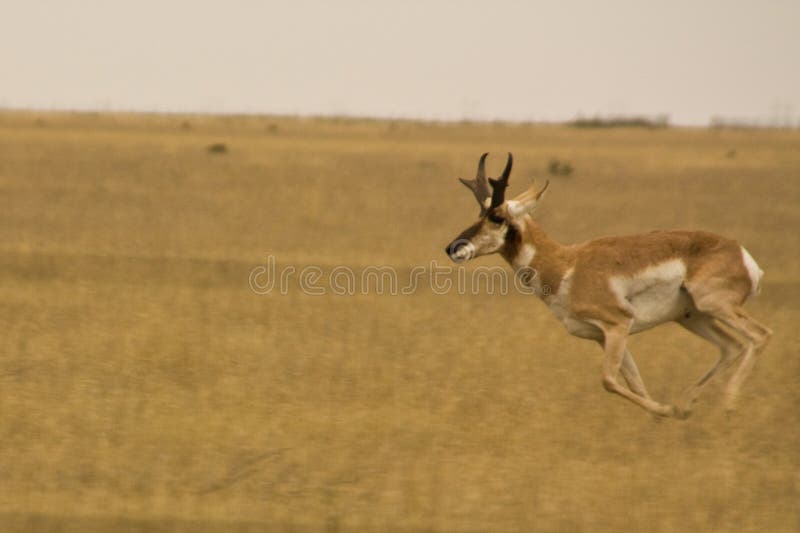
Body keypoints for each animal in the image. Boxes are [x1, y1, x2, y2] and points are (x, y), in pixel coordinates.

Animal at [445, 153, 771, 418]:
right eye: (480, 213)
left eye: (497, 216)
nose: (453, 248)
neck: (567, 264)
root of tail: (740, 253)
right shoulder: (604, 337)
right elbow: (636, 383)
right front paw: (664, 415)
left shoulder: (617, 325)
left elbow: (609, 380)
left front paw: (665, 411)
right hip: (693, 317)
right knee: (731, 346)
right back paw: (686, 404)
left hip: (714, 306)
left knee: (759, 336)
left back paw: (726, 408)